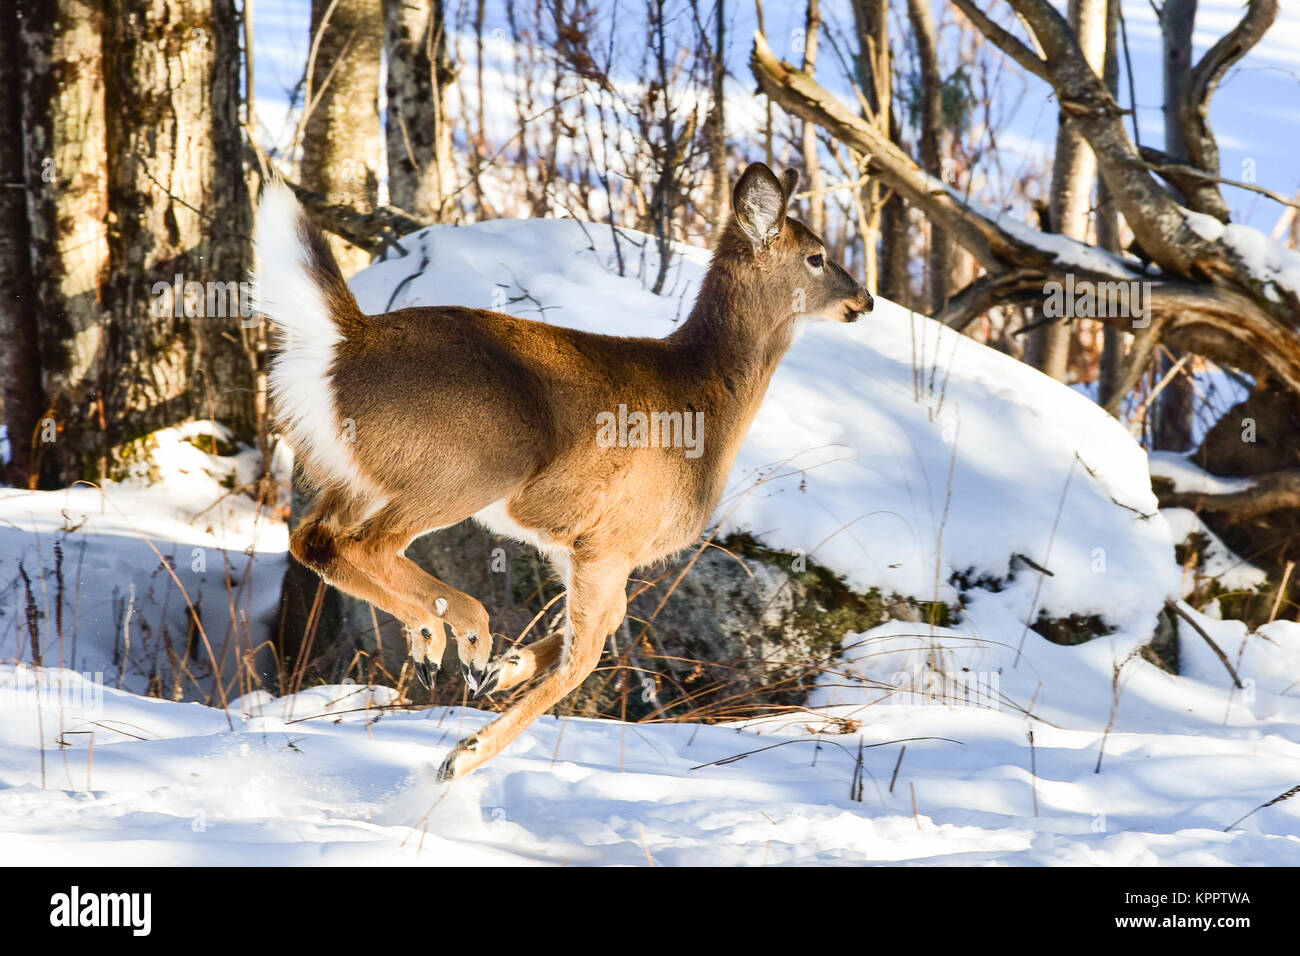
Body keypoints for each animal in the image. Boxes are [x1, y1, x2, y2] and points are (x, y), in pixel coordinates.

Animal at [253, 162, 872, 781]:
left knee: (314, 541)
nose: (865, 299)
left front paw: (506, 670)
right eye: (817, 256)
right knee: (371, 544)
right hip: (466, 468)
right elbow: (586, 656)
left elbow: (597, 626)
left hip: (356, 479)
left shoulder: (575, 546)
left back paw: (442, 650)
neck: (703, 401)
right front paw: (466, 749)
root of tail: (346, 341)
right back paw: (460, 641)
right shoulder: (610, 542)